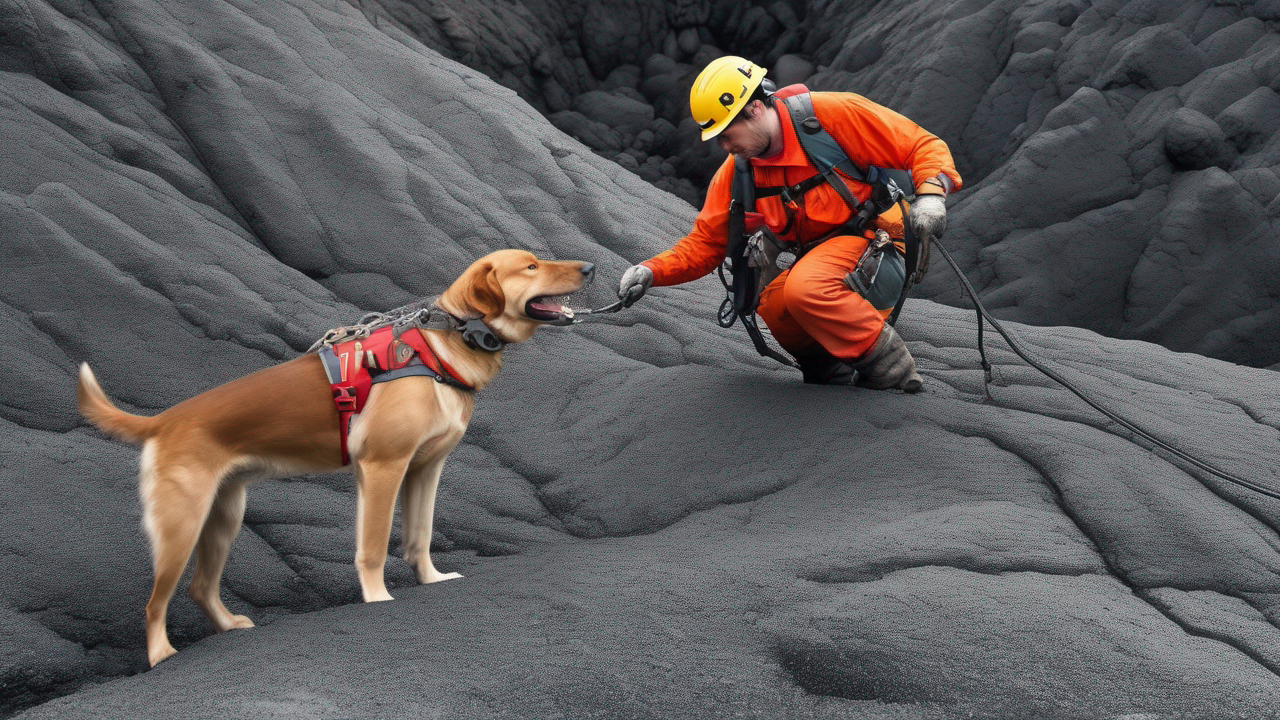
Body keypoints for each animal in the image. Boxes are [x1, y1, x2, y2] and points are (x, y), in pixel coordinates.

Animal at [70, 249, 588, 666]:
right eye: (530, 266)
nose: (591, 267)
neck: (444, 340)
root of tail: (164, 420)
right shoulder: (382, 468)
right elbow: (373, 547)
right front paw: (378, 599)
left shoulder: (425, 470)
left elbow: (419, 537)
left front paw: (432, 579)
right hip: (181, 524)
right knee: (154, 603)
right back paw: (161, 654)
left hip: (224, 515)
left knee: (200, 587)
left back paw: (228, 626)